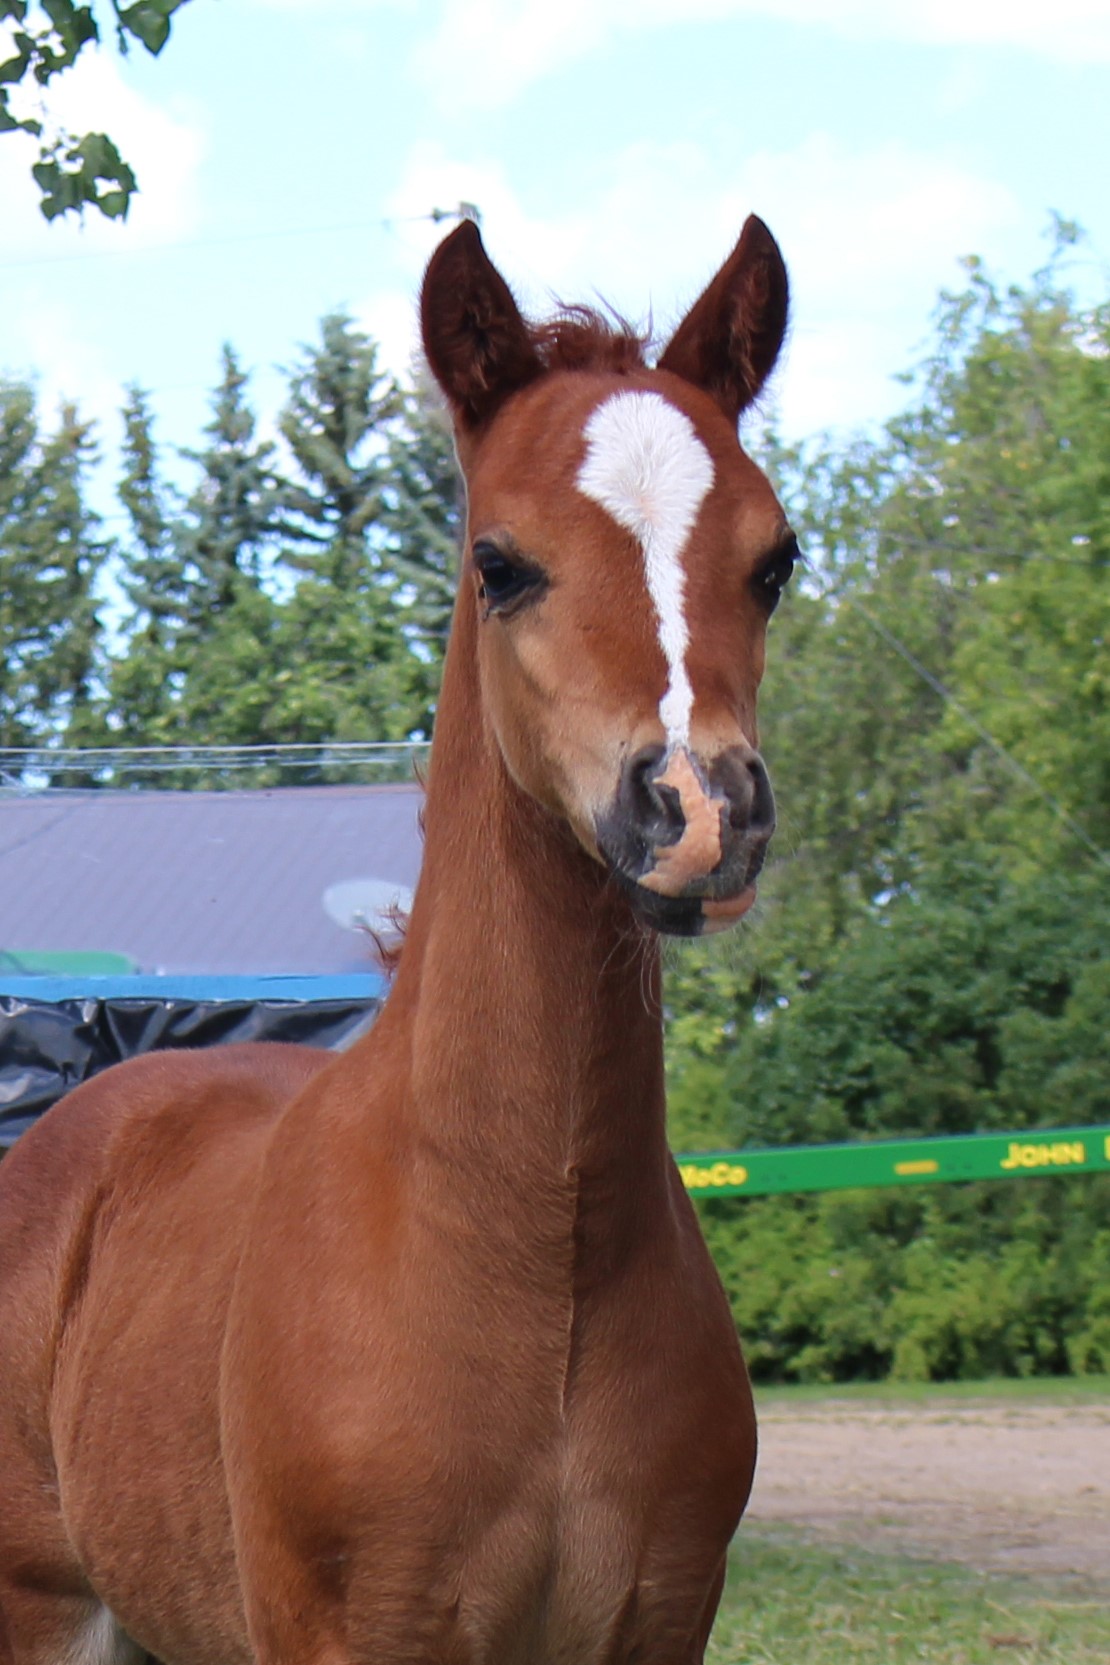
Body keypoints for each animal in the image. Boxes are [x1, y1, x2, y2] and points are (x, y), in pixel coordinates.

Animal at [0, 215, 794, 1665]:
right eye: (500, 561)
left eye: (776, 559)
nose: (701, 813)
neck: (534, 1247)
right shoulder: (352, 1631)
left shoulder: (661, 1621)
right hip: (45, 1611)